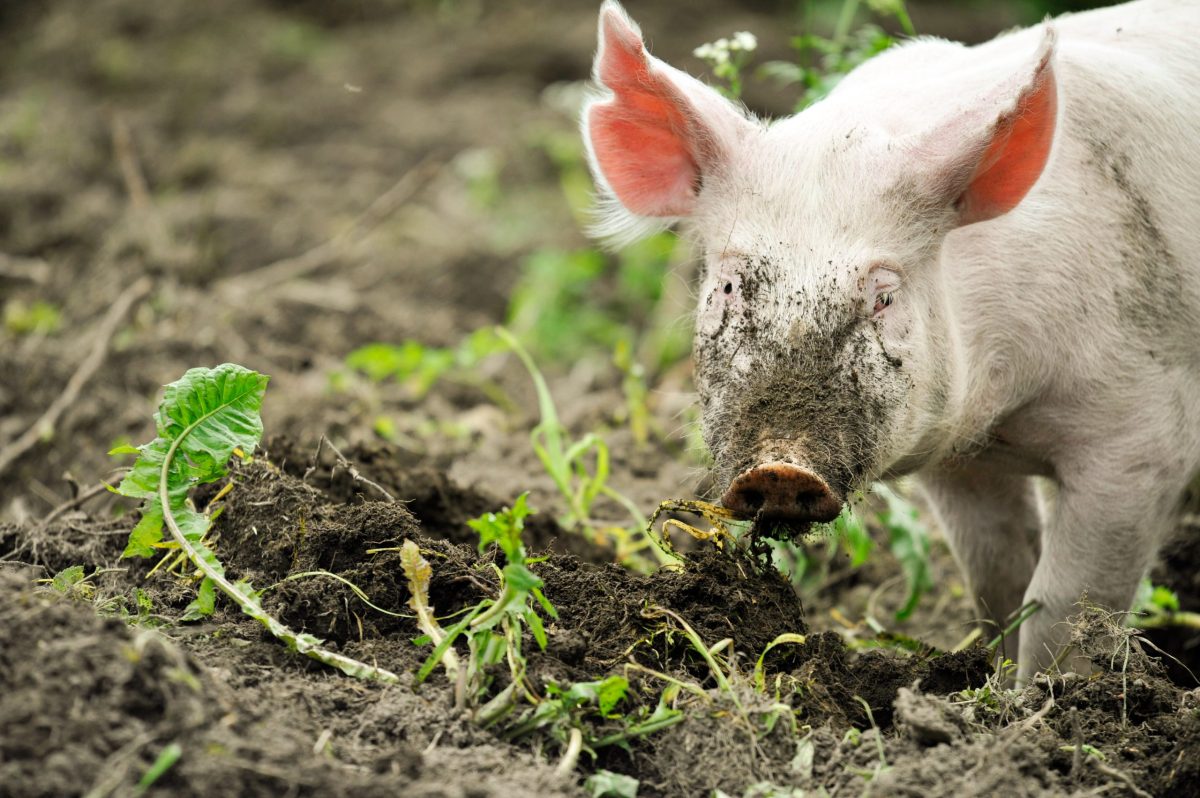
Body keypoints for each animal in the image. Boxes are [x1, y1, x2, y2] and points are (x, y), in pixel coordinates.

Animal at [581, 0, 1200, 683]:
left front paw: (1047, 694)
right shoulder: (960, 468)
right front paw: (993, 678)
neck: (1002, 421)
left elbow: (1065, 605)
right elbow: (1000, 578)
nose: (778, 466)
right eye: (730, 285)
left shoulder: (1143, 439)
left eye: (883, 297)